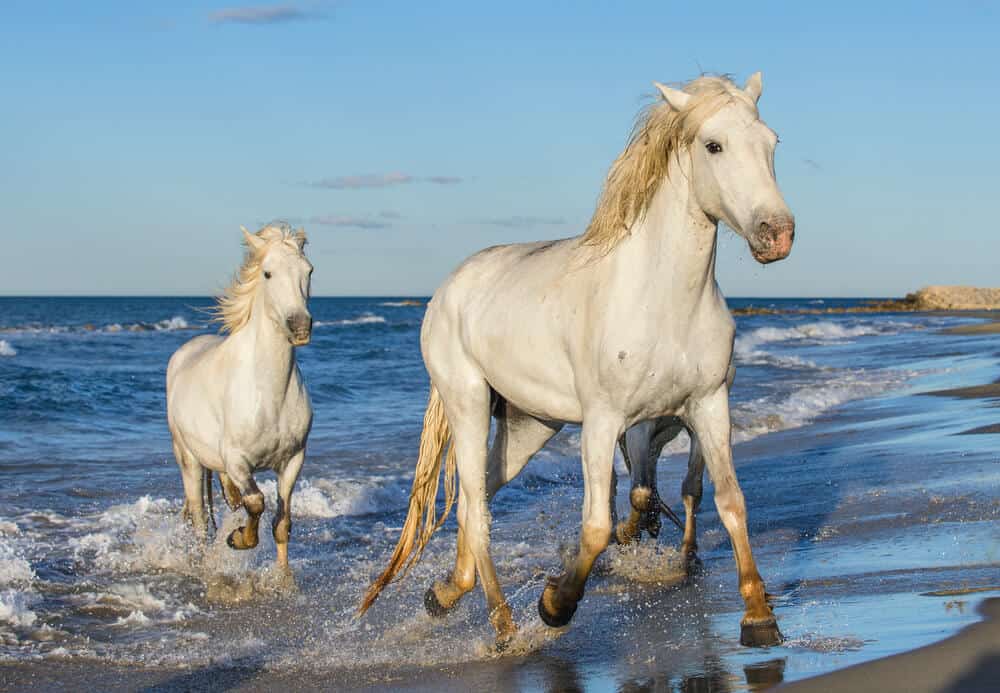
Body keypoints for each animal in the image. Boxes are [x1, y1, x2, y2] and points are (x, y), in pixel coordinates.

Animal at [166, 223, 314, 576]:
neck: (269, 394)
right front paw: (238, 539)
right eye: (268, 273)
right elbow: (257, 502)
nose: (300, 327)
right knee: (200, 521)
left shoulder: (293, 460)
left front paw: (284, 579)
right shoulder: (237, 461)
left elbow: (281, 523)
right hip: (188, 459)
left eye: (308, 271)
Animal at [359, 72, 794, 650]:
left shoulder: (708, 406)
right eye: (713, 145)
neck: (663, 300)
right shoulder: (606, 421)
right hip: (467, 402)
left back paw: (446, 593)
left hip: (529, 426)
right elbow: (598, 525)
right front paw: (555, 604)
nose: (777, 234)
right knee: (476, 509)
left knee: (478, 502)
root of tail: (451, 285)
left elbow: (728, 500)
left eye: (771, 143)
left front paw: (758, 616)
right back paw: (504, 625)